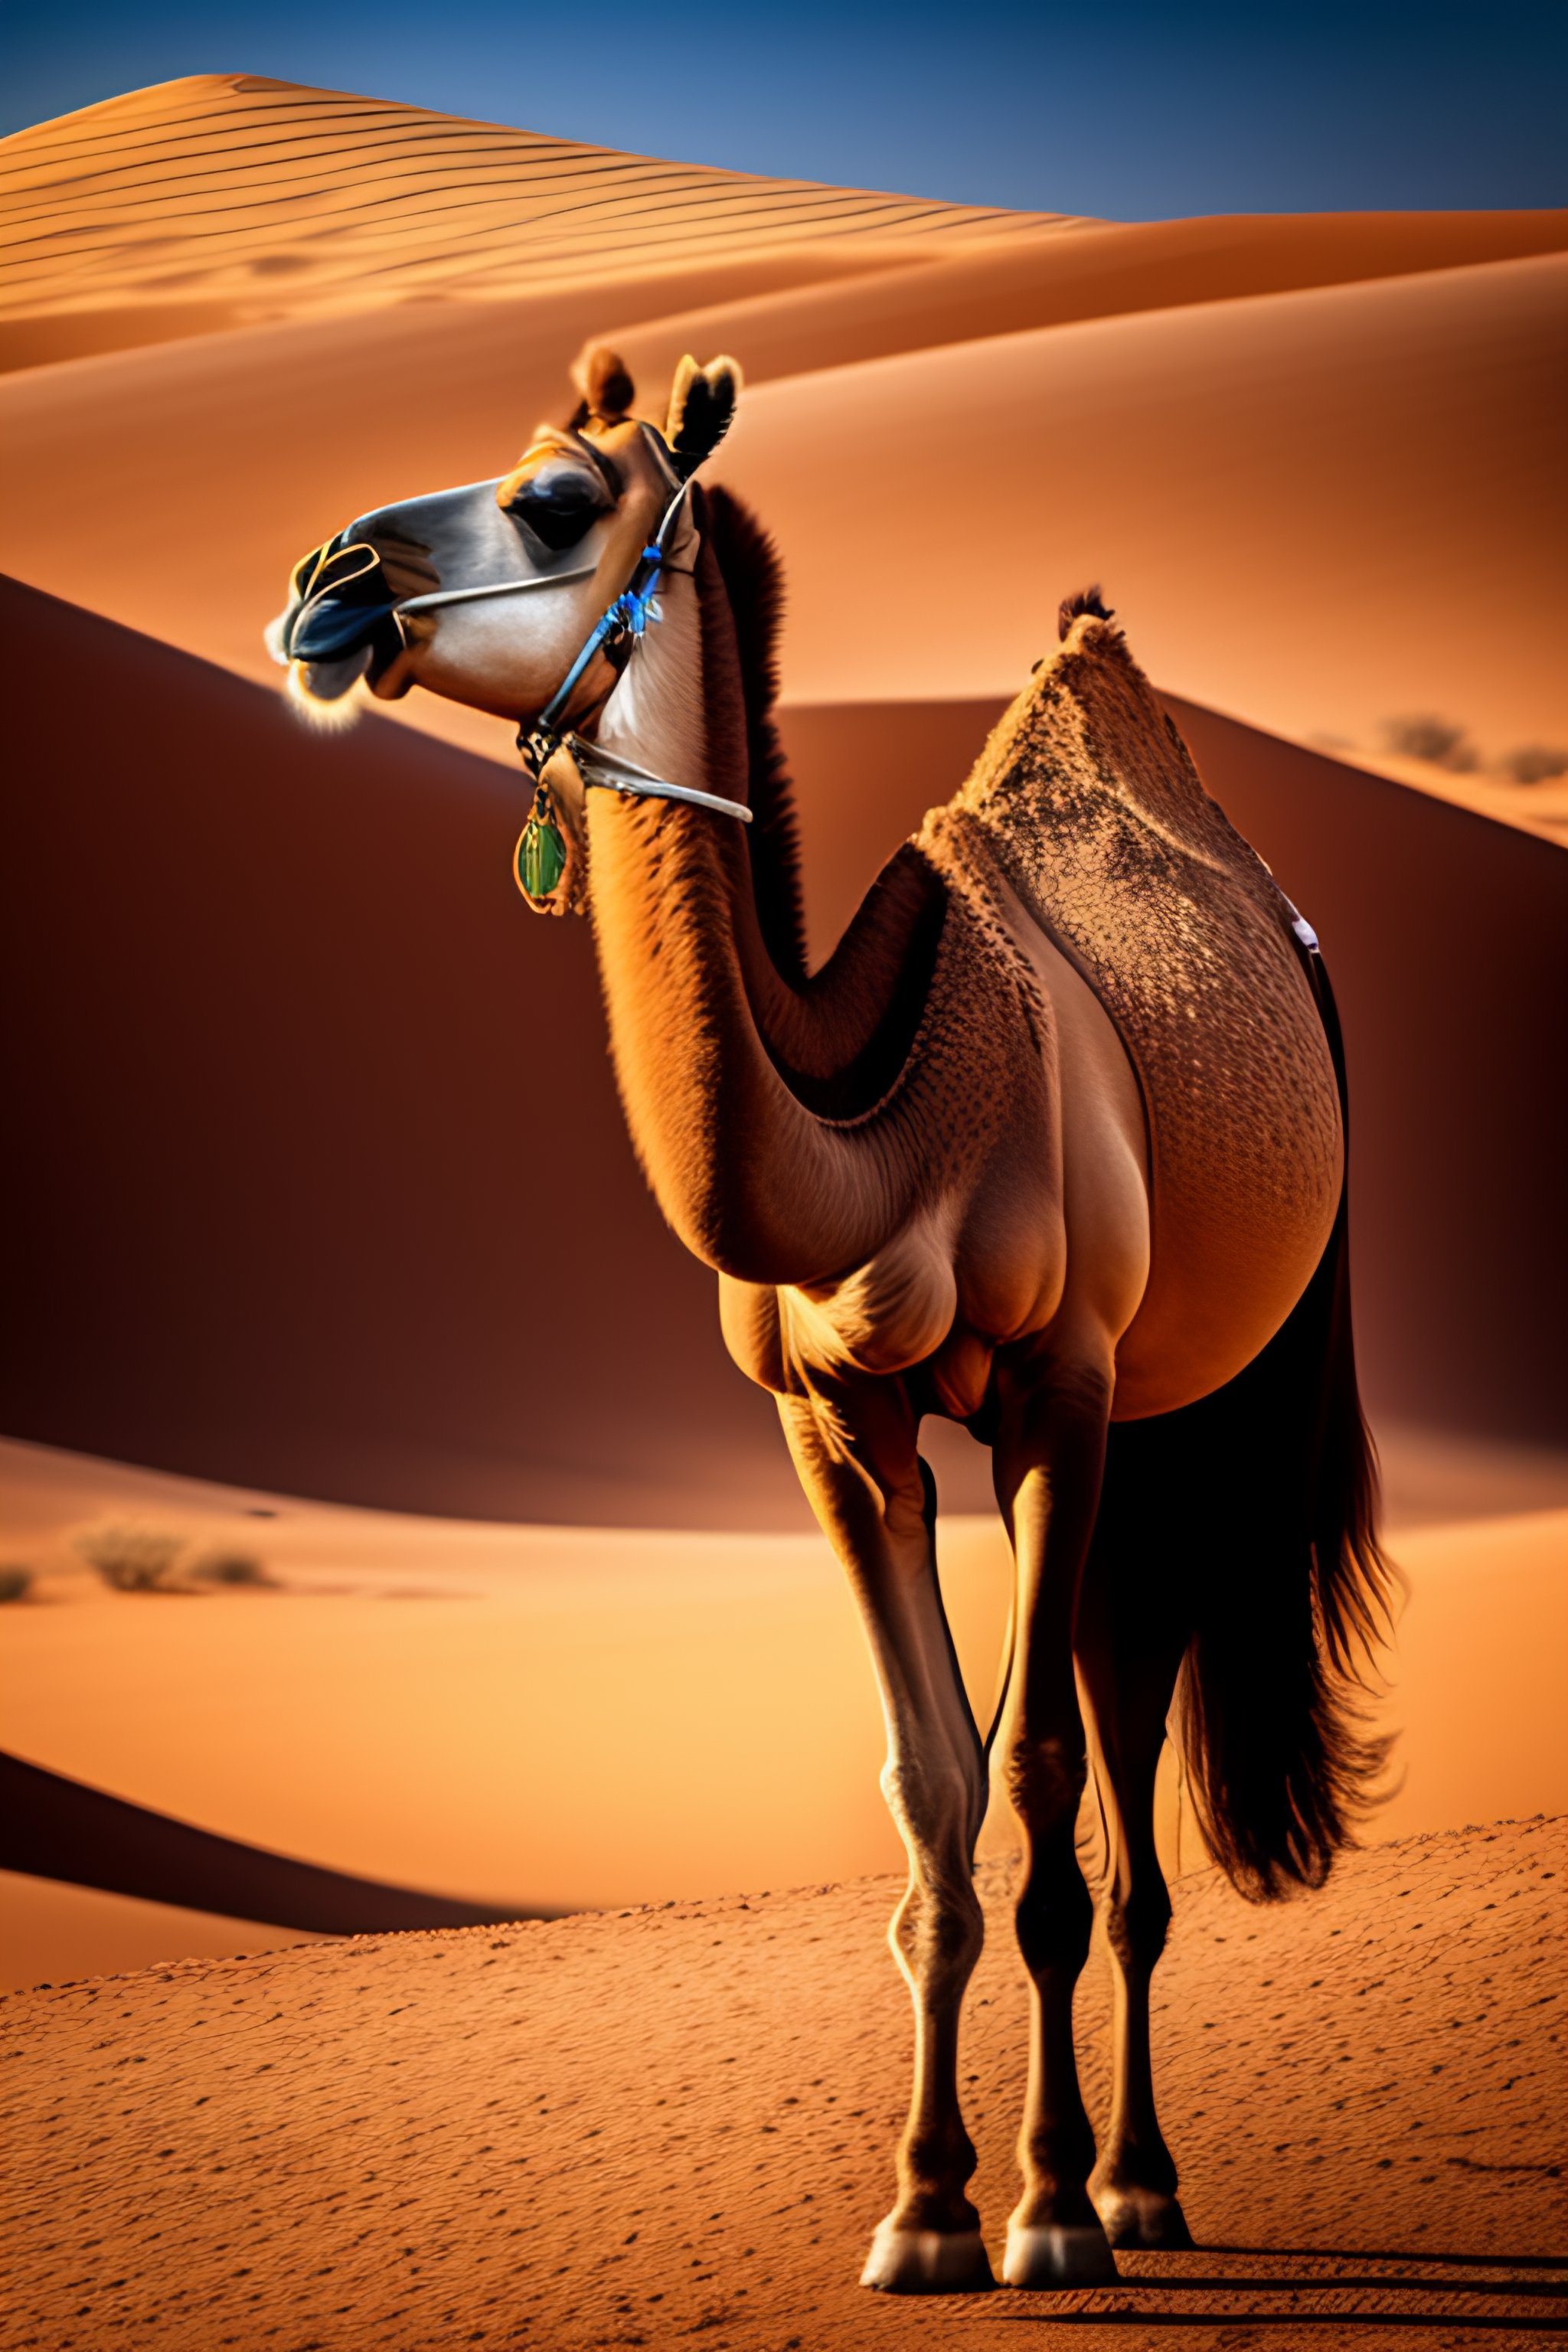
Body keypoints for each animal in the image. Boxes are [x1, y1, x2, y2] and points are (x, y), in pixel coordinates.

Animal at [269, 346, 1393, 2294]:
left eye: (553, 499)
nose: (324, 587)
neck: (877, 1117)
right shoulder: (834, 1419)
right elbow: (930, 1782)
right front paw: (925, 2208)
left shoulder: (1053, 1391)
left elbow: (1031, 1776)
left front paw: (1039, 2208)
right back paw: (1121, 2177)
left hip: (1203, 1393)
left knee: (1126, 1747)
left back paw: (1138, 2185)